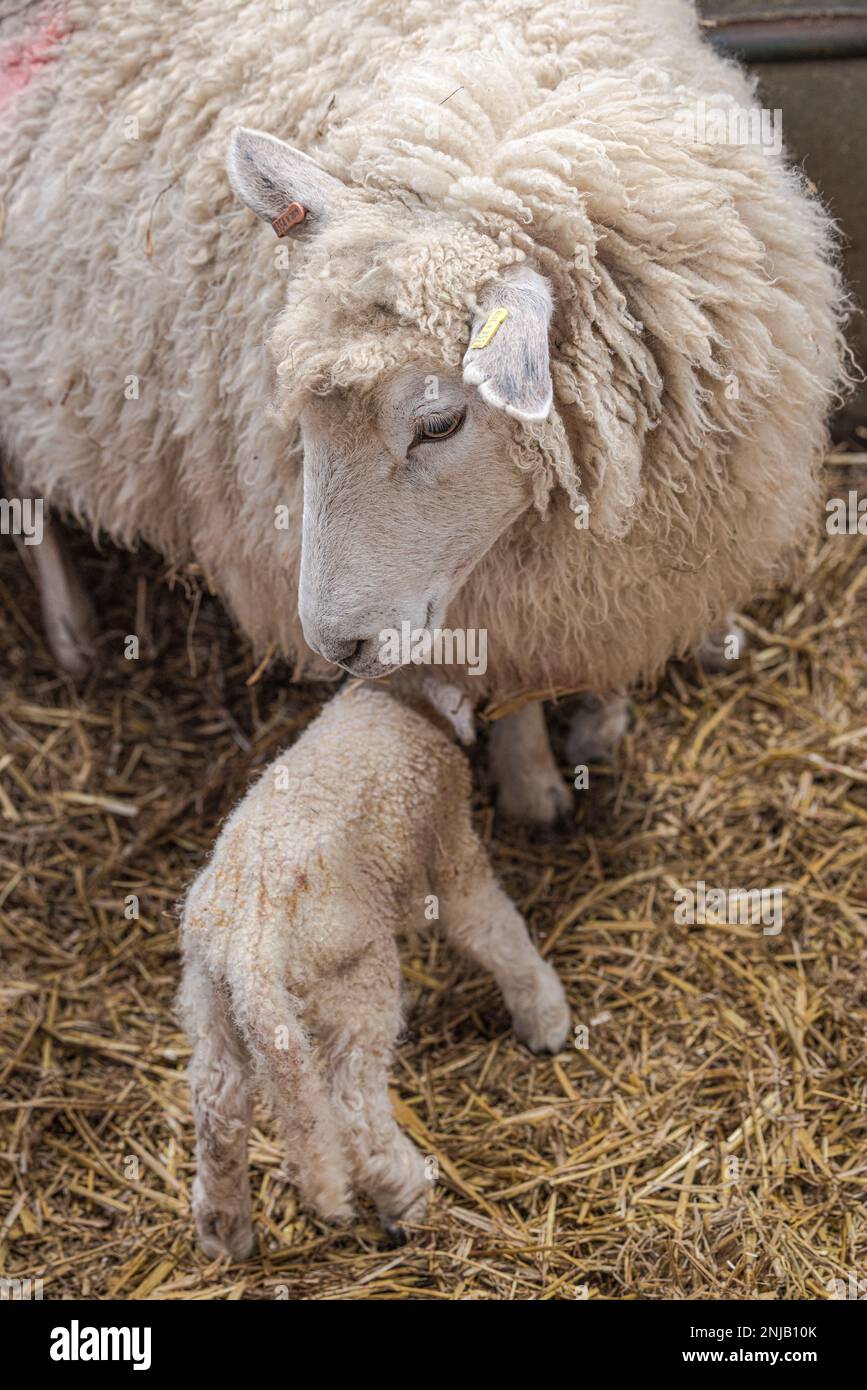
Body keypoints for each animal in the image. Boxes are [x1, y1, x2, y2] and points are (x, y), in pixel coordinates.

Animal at [0, 0, 849, 824]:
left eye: (439, 424)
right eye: (301, 419)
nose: (335, 645)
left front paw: (606, 711)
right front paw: (532, 783)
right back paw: (74, 635)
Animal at [178, 680, 571, 1255]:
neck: (399, 699)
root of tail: (252, 951)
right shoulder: (451, 847)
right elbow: (490, 928)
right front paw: (545, 1013)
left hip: (210, 1001)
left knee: (218, 1108)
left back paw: (224, 1232)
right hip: (357, 984)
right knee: (353, 1111)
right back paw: (407, 1201)